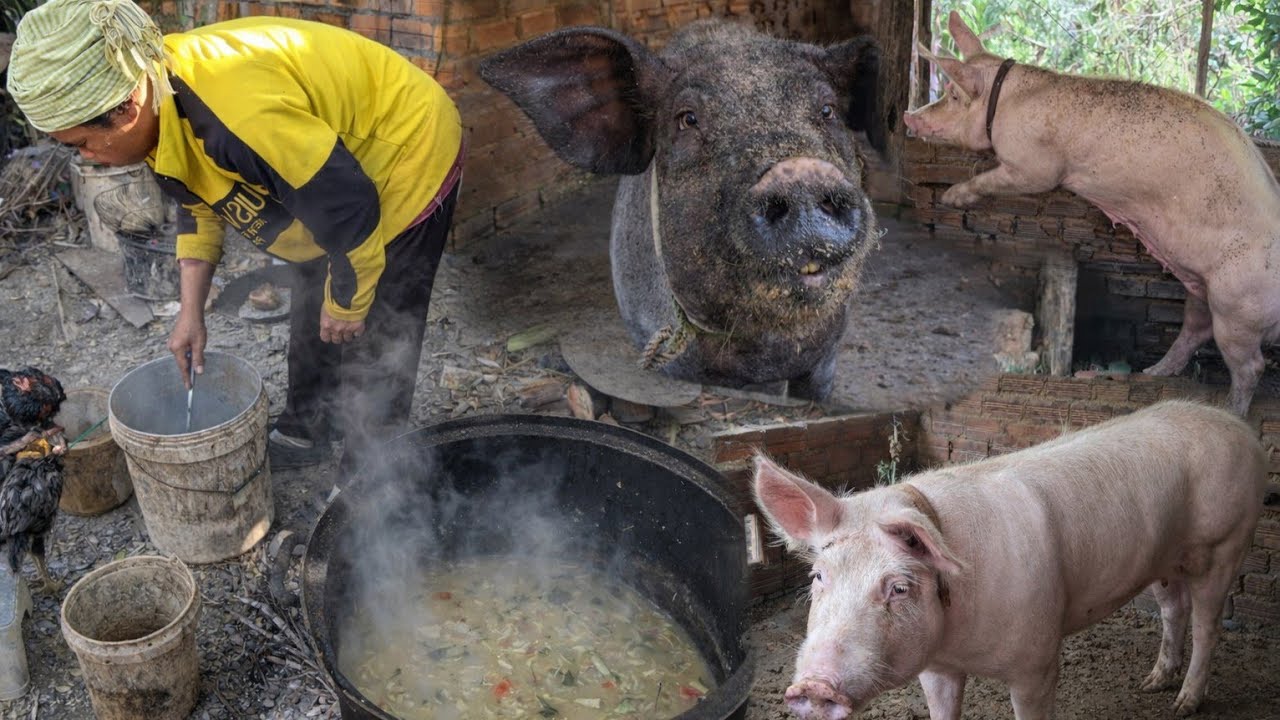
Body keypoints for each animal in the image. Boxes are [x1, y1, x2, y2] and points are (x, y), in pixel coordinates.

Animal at [753, 399, 1266, 719]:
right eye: (818, 577)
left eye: (898, 587)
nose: (812, 686)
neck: (960, 641)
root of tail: (1241, 429)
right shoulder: (935, 666)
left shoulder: (1037, 659)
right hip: (1164, 556)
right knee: (1173, 609)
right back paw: (1152, 683)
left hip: (1228, 541)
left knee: (1207, 625)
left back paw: (1183, 704)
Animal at [902, 11, 1280, 418]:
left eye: (954, 95)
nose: (909, 116)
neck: (1004, 101)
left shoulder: (1036, 167)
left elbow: (993, 179)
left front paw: (951, 197)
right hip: (1201, 285)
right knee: (1194, 330)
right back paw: (1151, 372)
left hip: (1236, 305)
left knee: (1250, 365)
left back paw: (1231, 411)